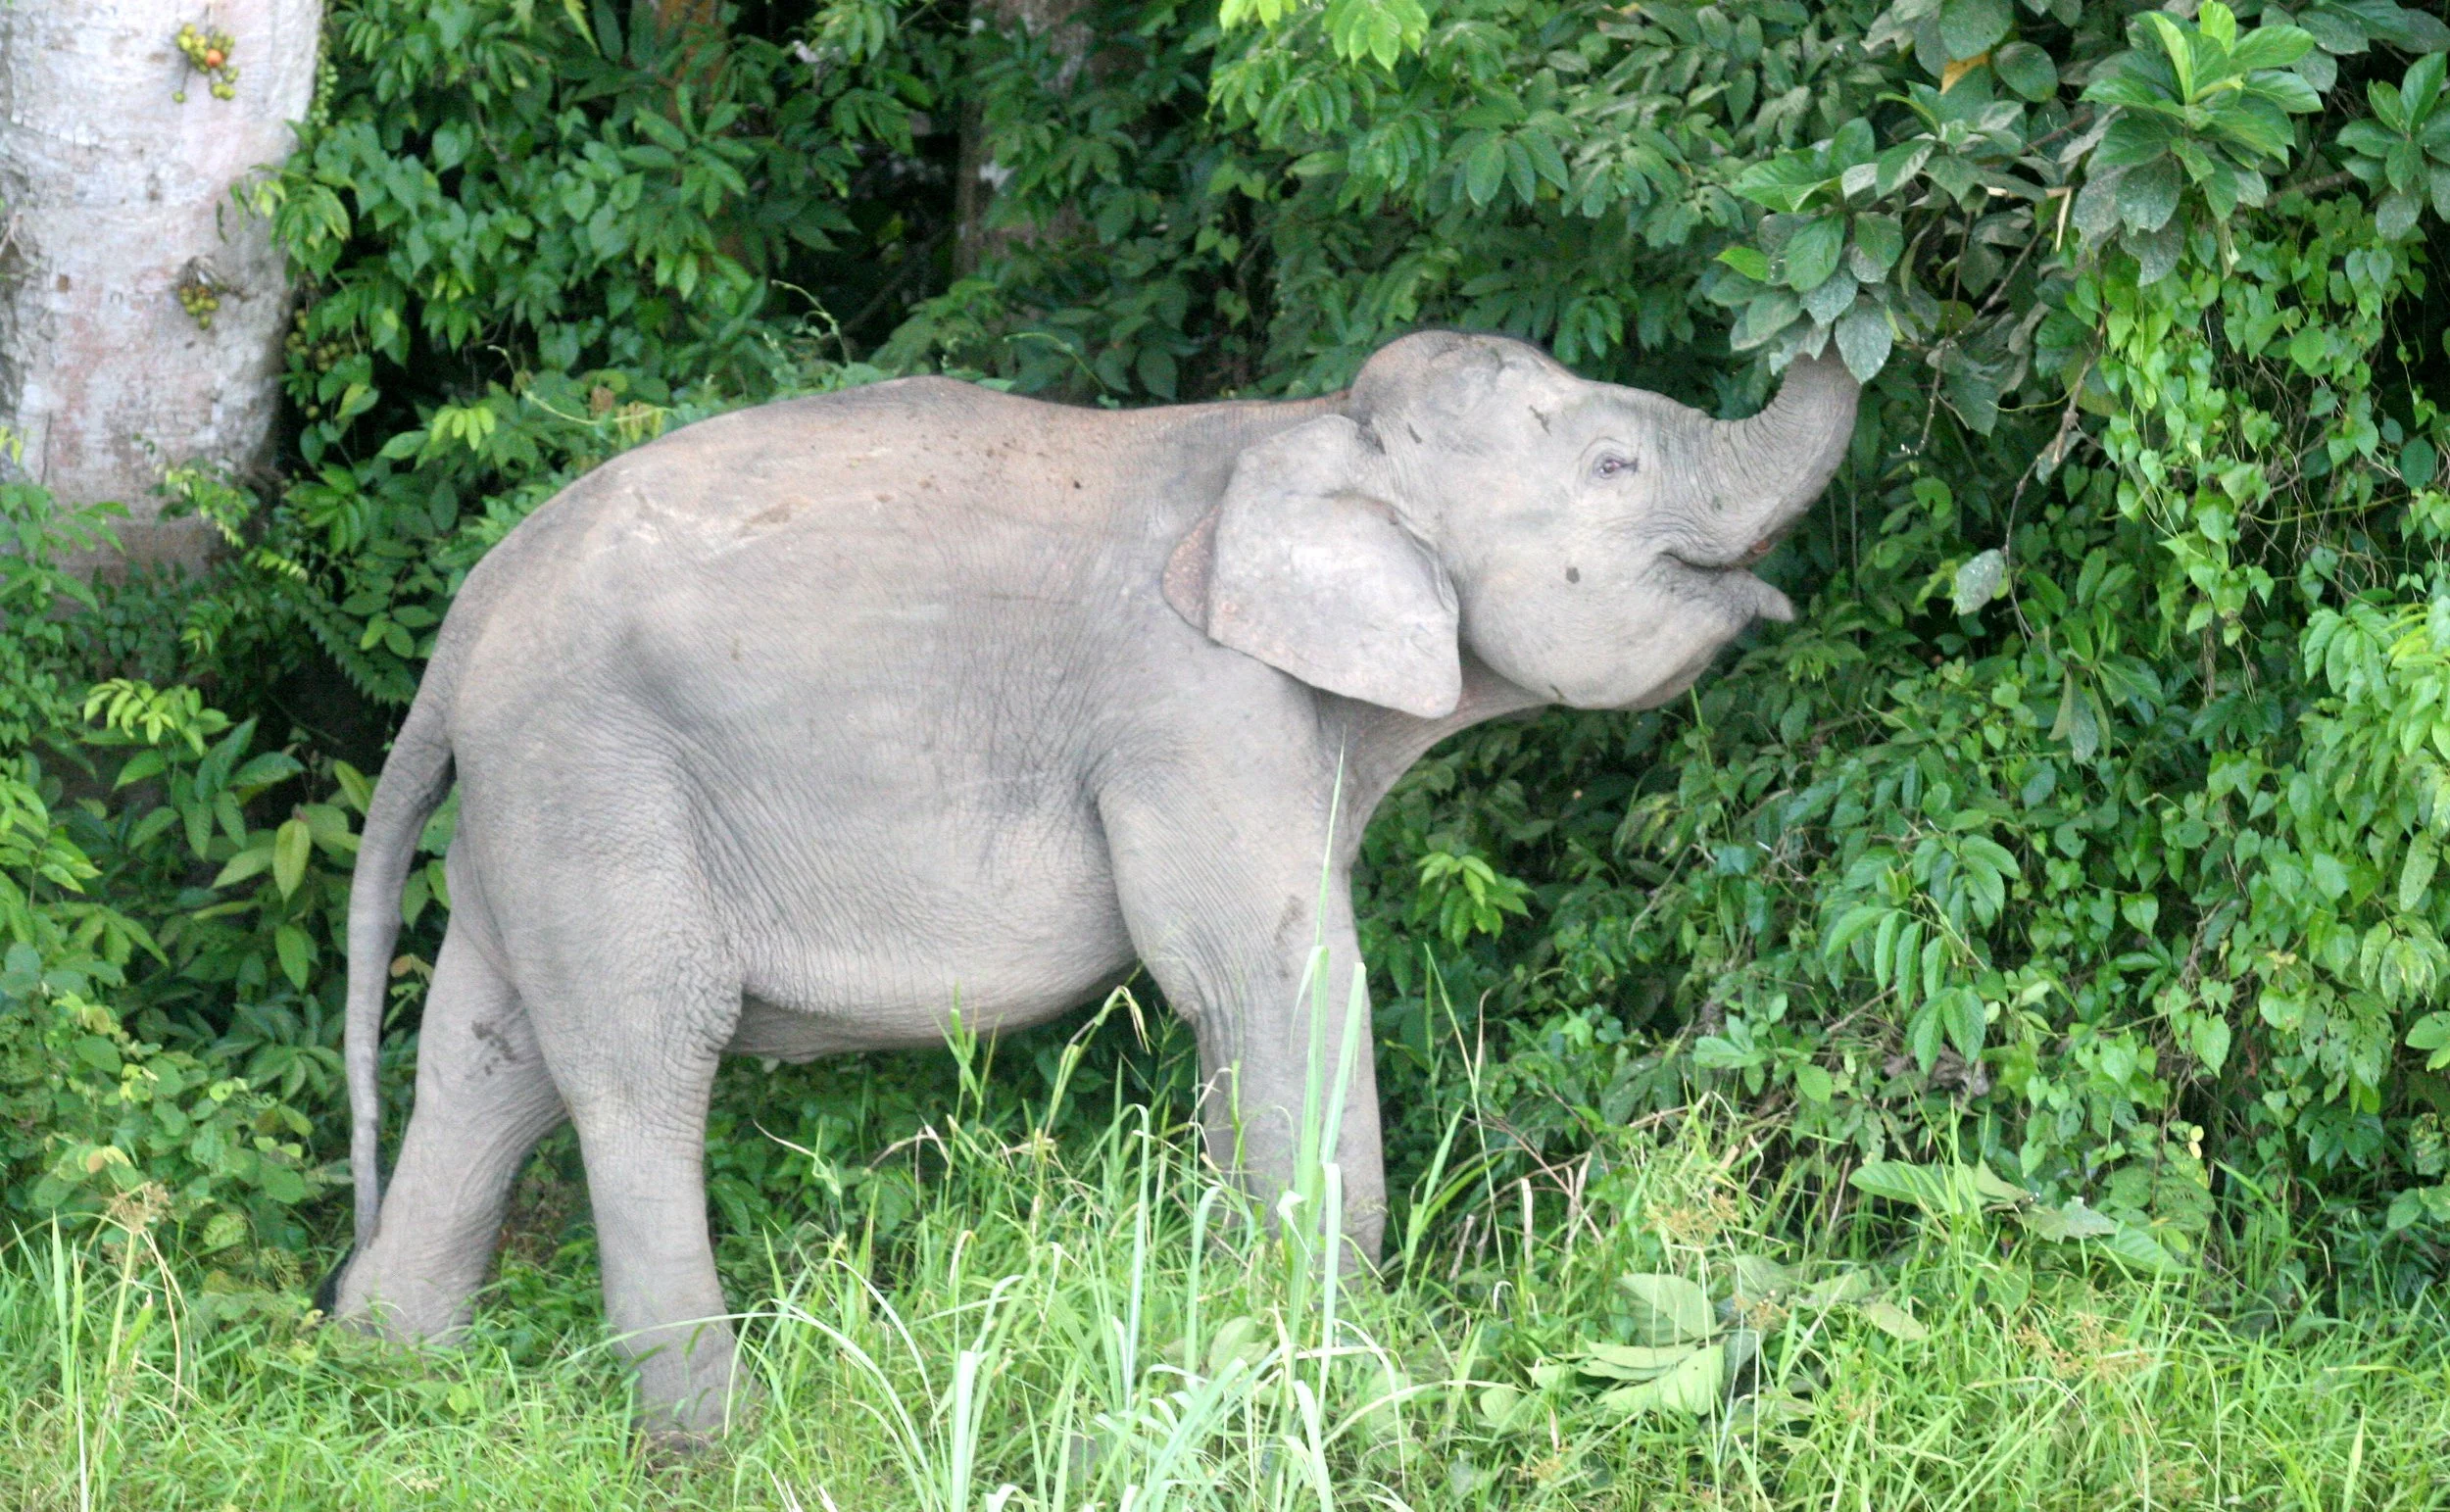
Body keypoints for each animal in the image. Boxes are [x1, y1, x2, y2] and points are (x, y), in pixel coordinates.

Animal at [325, 329, 1859, 1437]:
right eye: (1611, 464)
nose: (1840, 312)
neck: (1303, 423)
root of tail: (462, 625)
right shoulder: (1196, 700)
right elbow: (1266, 973)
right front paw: (1335, 1386)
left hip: (529, 805)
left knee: (487, 1057)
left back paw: (392, 1375)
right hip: (596, 774)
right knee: (641, 1060)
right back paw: (718, 1440)